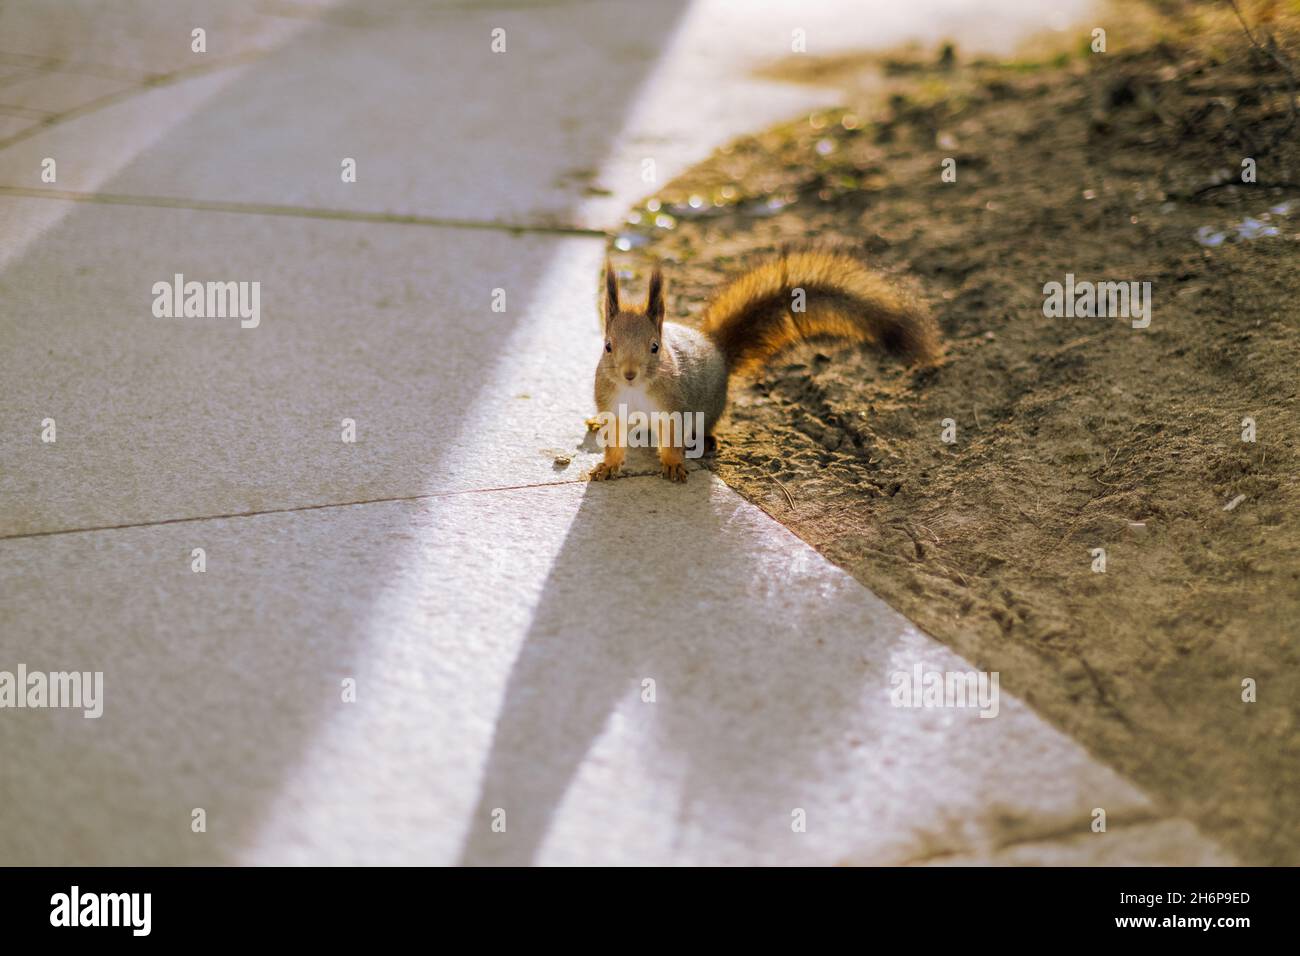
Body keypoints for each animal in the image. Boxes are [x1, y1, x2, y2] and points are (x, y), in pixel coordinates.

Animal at [590, 249, 940, 483]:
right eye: (608, 346)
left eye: (655, 347)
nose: (629, 374)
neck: (635, 392)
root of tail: (718, 350)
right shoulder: (613, 407)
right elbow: (614, 441)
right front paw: (608, 465)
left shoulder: (674, 408)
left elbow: (673, 441)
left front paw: (674, 464)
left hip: (709, 408)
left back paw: (704, 440)